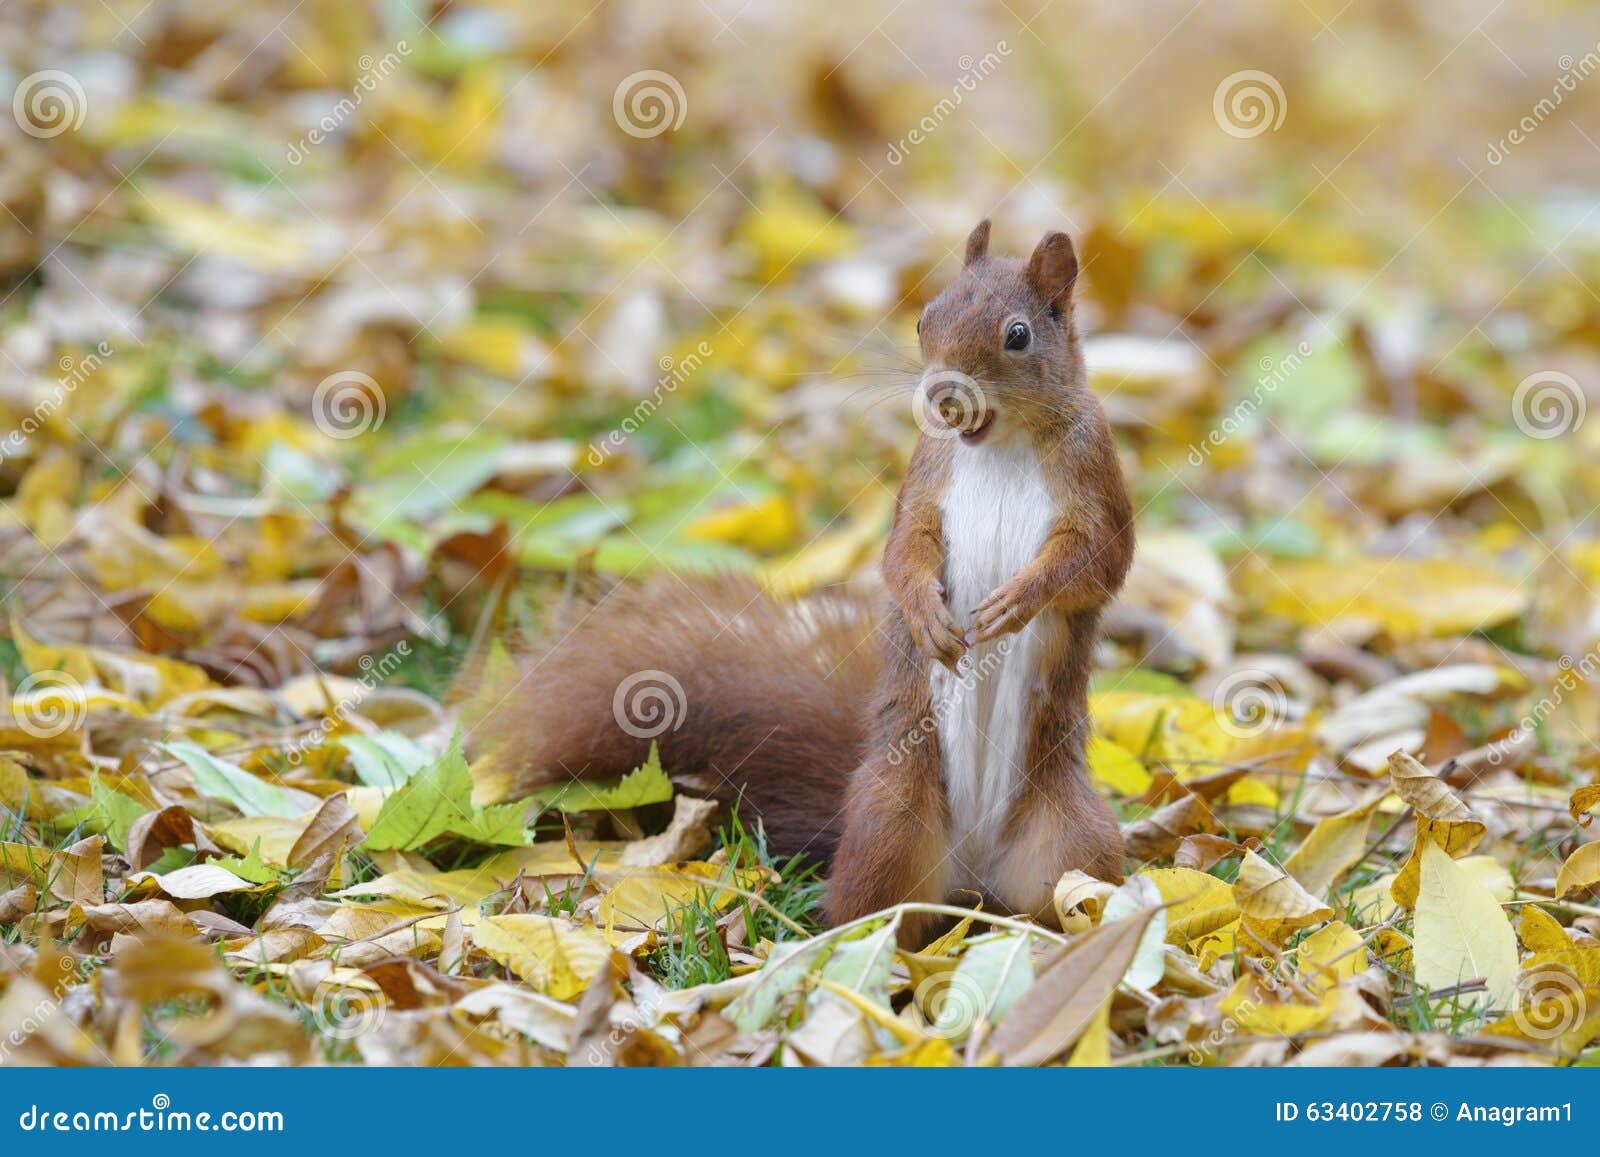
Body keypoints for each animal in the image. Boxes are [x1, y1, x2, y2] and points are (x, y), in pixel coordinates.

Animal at [471, 221, 1136, 947]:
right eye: (924, 319)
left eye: (1017, 335)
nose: (942, 394)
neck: (1000, 445)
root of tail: (973, 877)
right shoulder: (925, 480)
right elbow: (903, 553)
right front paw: (927, 616)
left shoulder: (1095, 476)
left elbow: (1097, 562)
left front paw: (1018, 600)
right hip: (888, 823)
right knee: (870, 909)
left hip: (1072, 839)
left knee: (1074, 893)